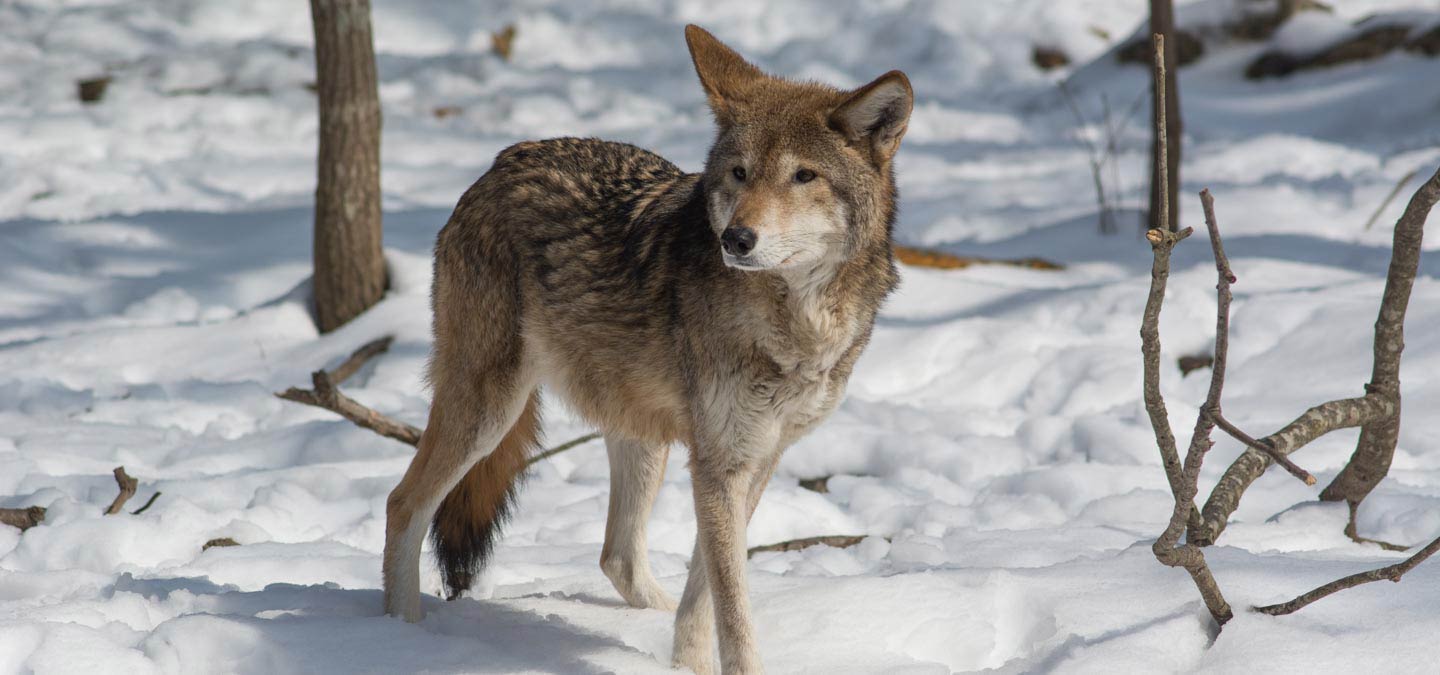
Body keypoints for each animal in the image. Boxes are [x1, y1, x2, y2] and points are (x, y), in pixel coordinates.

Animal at [382, 24, 912, 674]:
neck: (797, 322)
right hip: (489, 411)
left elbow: (707, 590)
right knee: (403, 504)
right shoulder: (720, 463)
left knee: (617, 555)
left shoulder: (756, 458)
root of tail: (500, 162)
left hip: (642, 436)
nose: (736, 238)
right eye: (739, 173)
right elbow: (732, 607)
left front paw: (688, 660)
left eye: (804, 176)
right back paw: (400, 636)